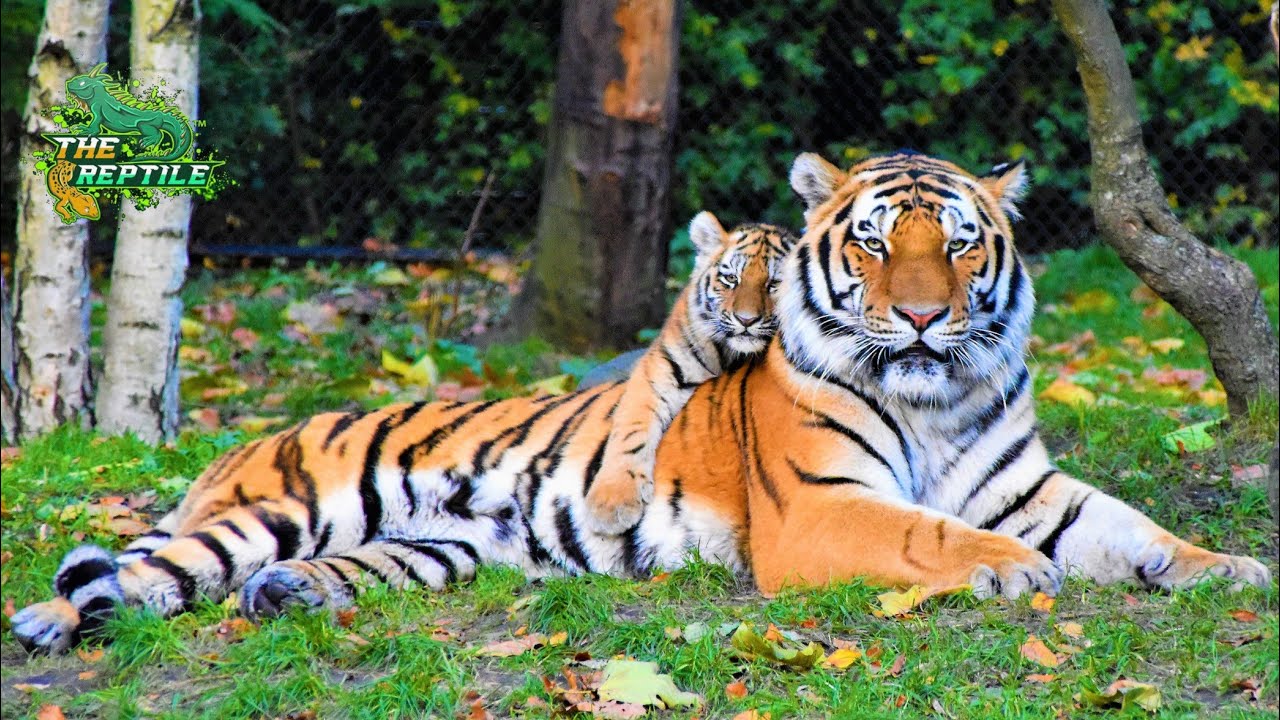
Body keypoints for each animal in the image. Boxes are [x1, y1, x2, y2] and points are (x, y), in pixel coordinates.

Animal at [583, 212, 795, 533]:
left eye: (774, 283)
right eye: (731, 279)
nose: (746, 320)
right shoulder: (659, 370)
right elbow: (631, 429)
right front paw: (612, 504)